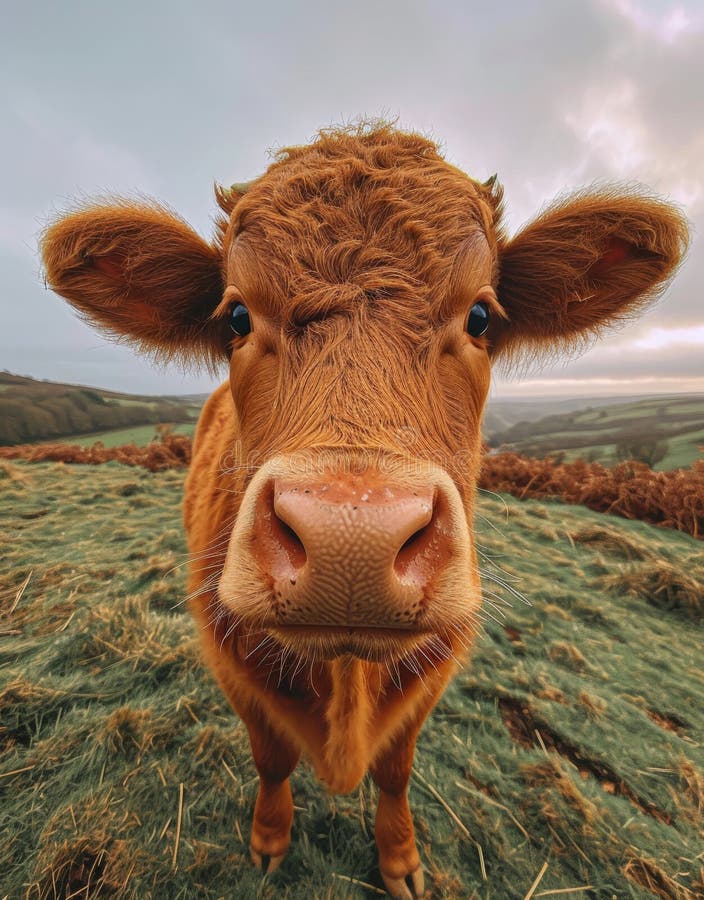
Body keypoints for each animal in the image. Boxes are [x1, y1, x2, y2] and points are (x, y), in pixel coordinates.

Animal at [41, 125, 687, 898]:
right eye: (236, 316)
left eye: (480, 316)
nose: (352, 535)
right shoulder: (232, 665)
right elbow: (271, 759)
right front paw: (269, 839)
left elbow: (396, 772)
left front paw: (400, 858)